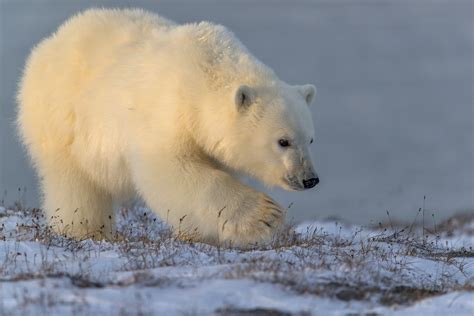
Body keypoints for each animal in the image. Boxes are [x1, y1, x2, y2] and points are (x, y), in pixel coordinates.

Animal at [17, 6, 318, 244]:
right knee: (74, 182)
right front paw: (265, 216)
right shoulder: (169, 109)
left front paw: (197, 233)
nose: (309, 179)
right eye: (283, 141)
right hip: (62, 116)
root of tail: (50, 43)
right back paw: (86, 231)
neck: (205, 75)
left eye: (310, 139)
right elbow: (170, 170)